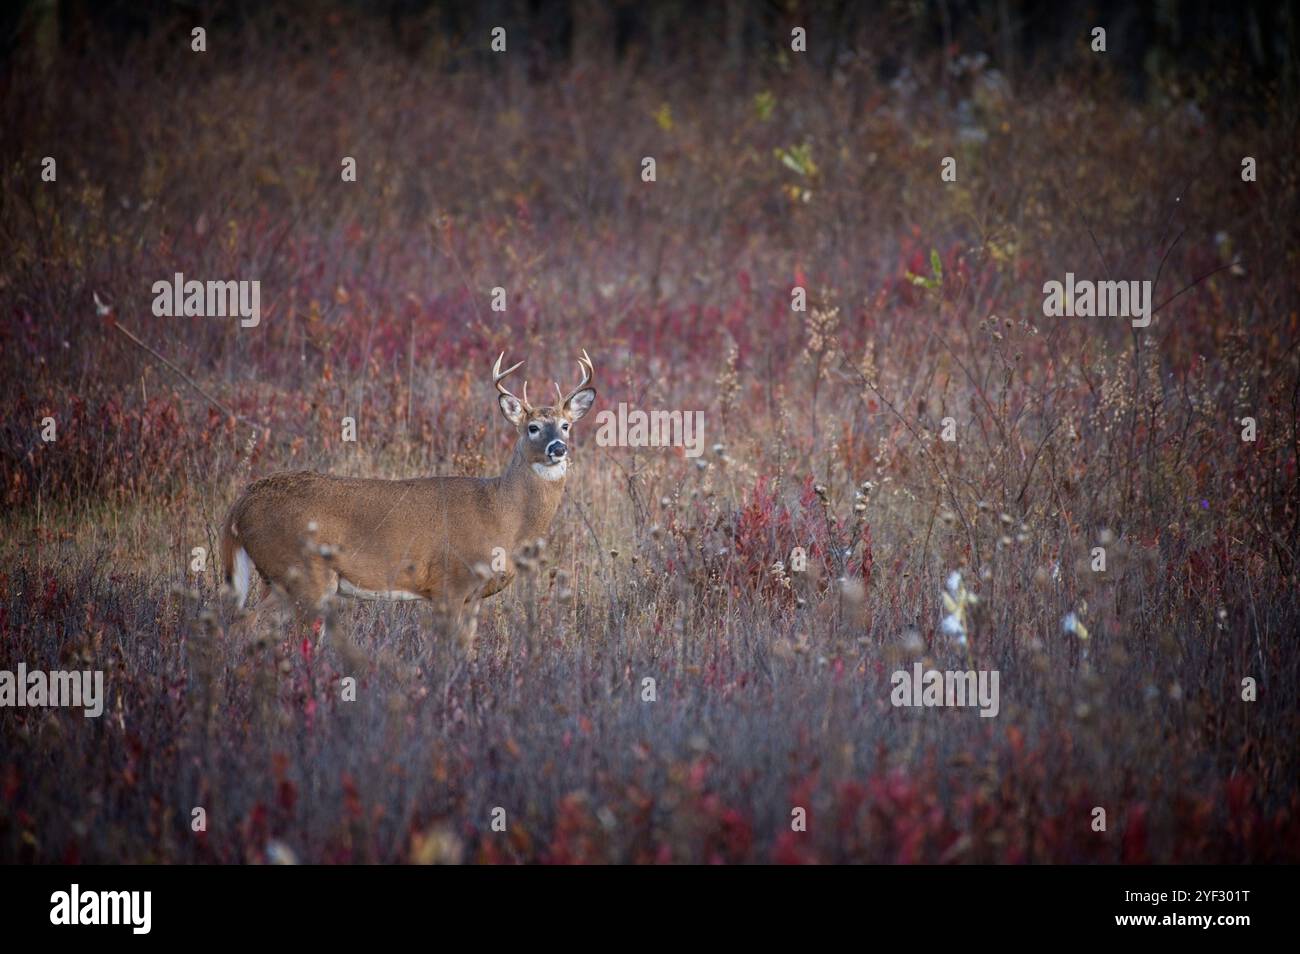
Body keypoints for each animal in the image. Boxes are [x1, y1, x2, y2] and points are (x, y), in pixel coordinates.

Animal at [219, 349, 596, 641]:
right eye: (532, 427)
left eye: (566, 425)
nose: (558, 448)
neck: (501, 513)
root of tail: (240, 505)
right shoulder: (449, 583)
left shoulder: (474, 596)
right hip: (302, 572)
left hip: (278, 579)